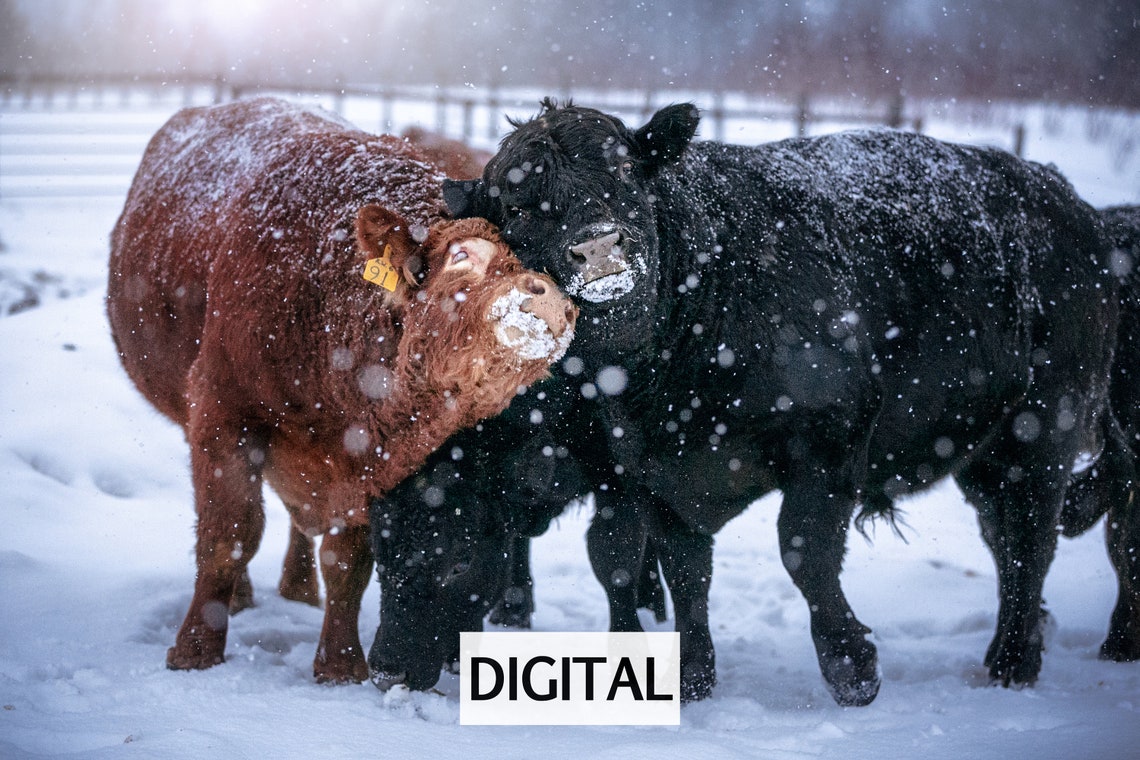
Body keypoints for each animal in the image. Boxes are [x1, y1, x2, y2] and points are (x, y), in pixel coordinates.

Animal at [106, 97, 577, 684]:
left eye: (539, 260)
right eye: (462, 256)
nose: (547, 296)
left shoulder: (369, 460)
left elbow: (348, 560)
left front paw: (339, 663)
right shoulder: (220, 409)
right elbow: (226, 536)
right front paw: (196, 649)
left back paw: (298, 589)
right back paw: (240, 598)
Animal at [440, 98, 1118, 706]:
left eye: (627, 170)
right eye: (519, 204)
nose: (600, 248)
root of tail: (1064, 198)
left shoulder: (828, 443)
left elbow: (804, 550)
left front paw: (852, 667)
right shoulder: (654, 470)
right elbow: (685, 569)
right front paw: (693, 677)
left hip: (1042, 431)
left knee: (1031, 539)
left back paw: (1013, 664)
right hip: (988, 454)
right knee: (1005, 540)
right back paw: (1012, 648)